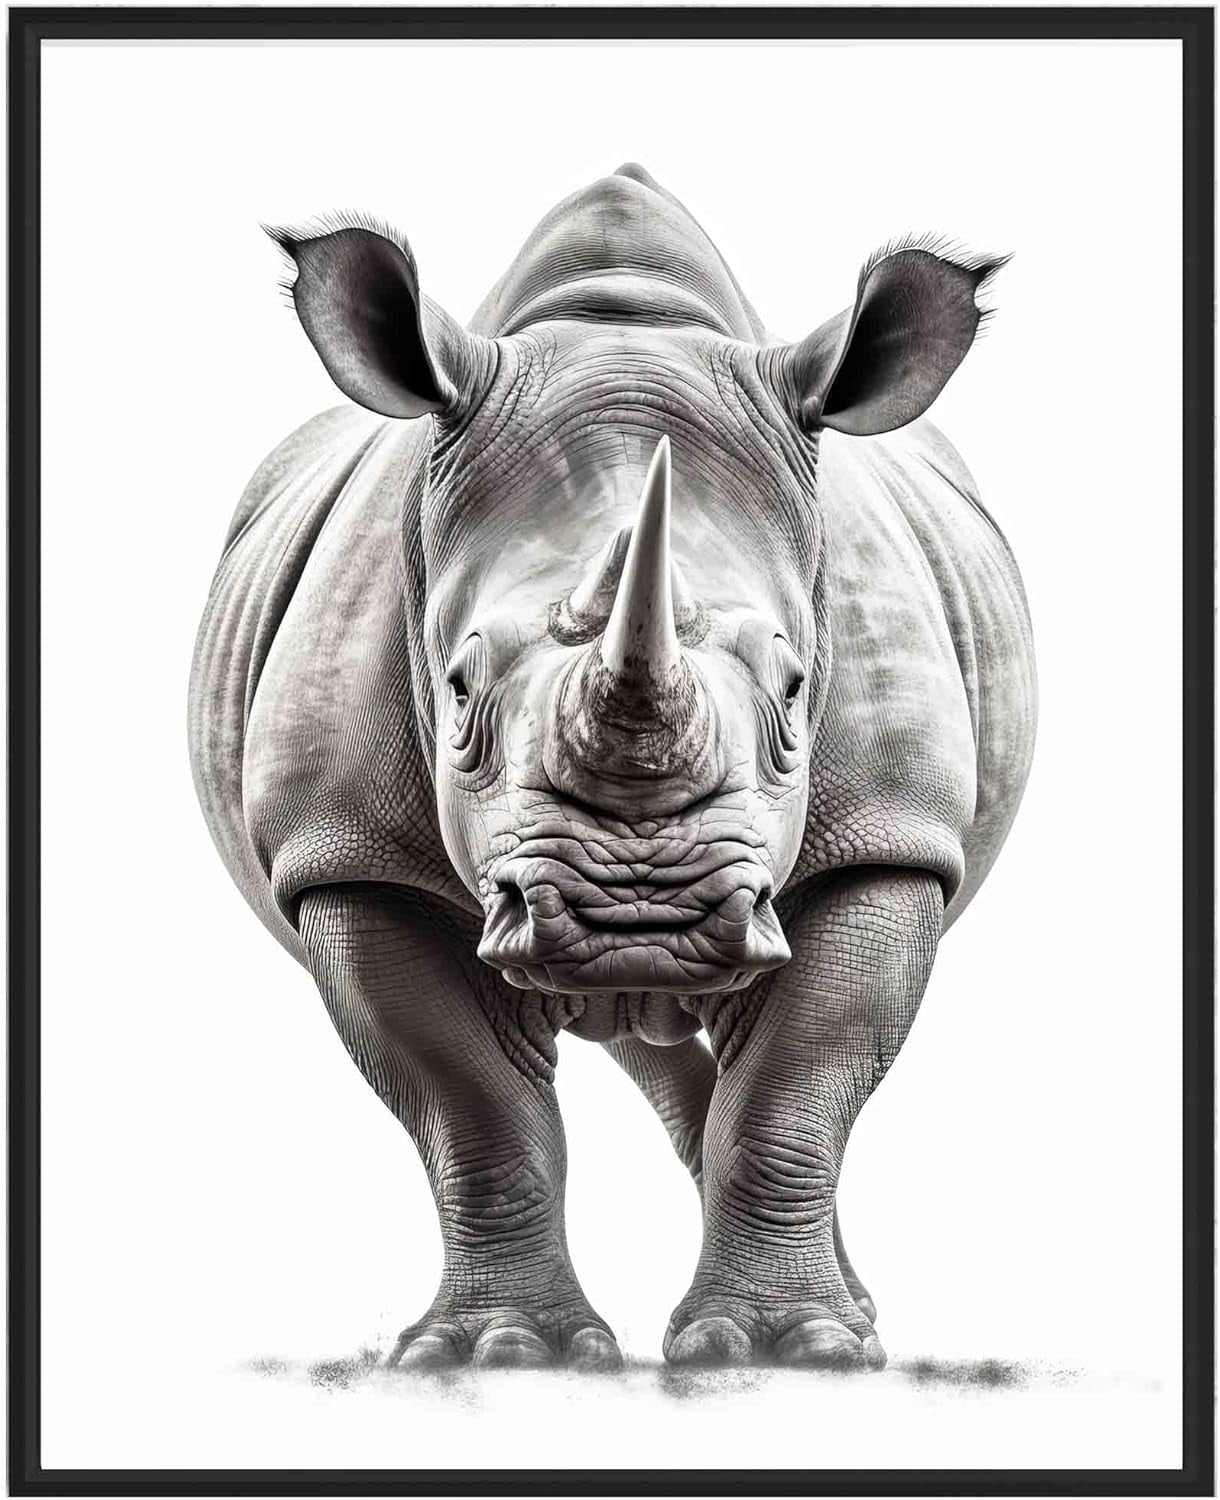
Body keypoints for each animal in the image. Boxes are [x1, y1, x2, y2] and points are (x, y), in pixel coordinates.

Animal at [189, 163, 1036, 1373]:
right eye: (457, 688)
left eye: (794, 690)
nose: (641, 918)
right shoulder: (349, 855)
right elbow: (477, 1114)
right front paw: (498, 1352)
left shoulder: (889, 838)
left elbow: (793, 1089)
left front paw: (789, 1350)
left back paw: (852, 1320)